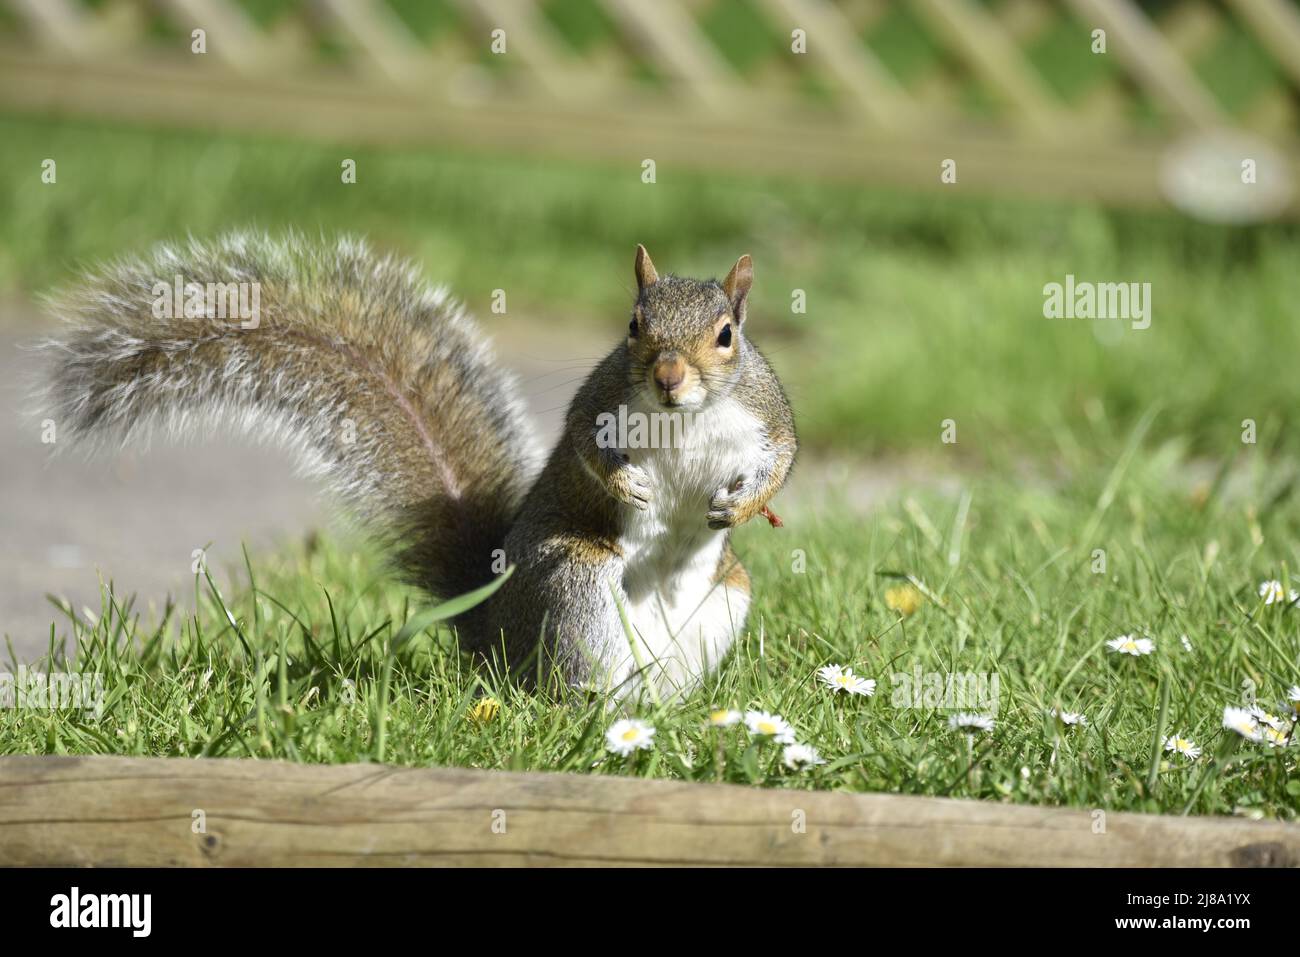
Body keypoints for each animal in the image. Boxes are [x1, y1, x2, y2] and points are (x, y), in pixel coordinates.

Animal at [38, 233, 796, 697]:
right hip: (576, 580)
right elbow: (585, 445)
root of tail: (493, 638)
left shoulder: (768, 415)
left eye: (727, 335)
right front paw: (629, 483)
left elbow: (782, 460)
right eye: (634, 326)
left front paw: (738, 503)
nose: (668, 377)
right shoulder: (597, 404)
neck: (684, 415)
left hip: (728, 598)